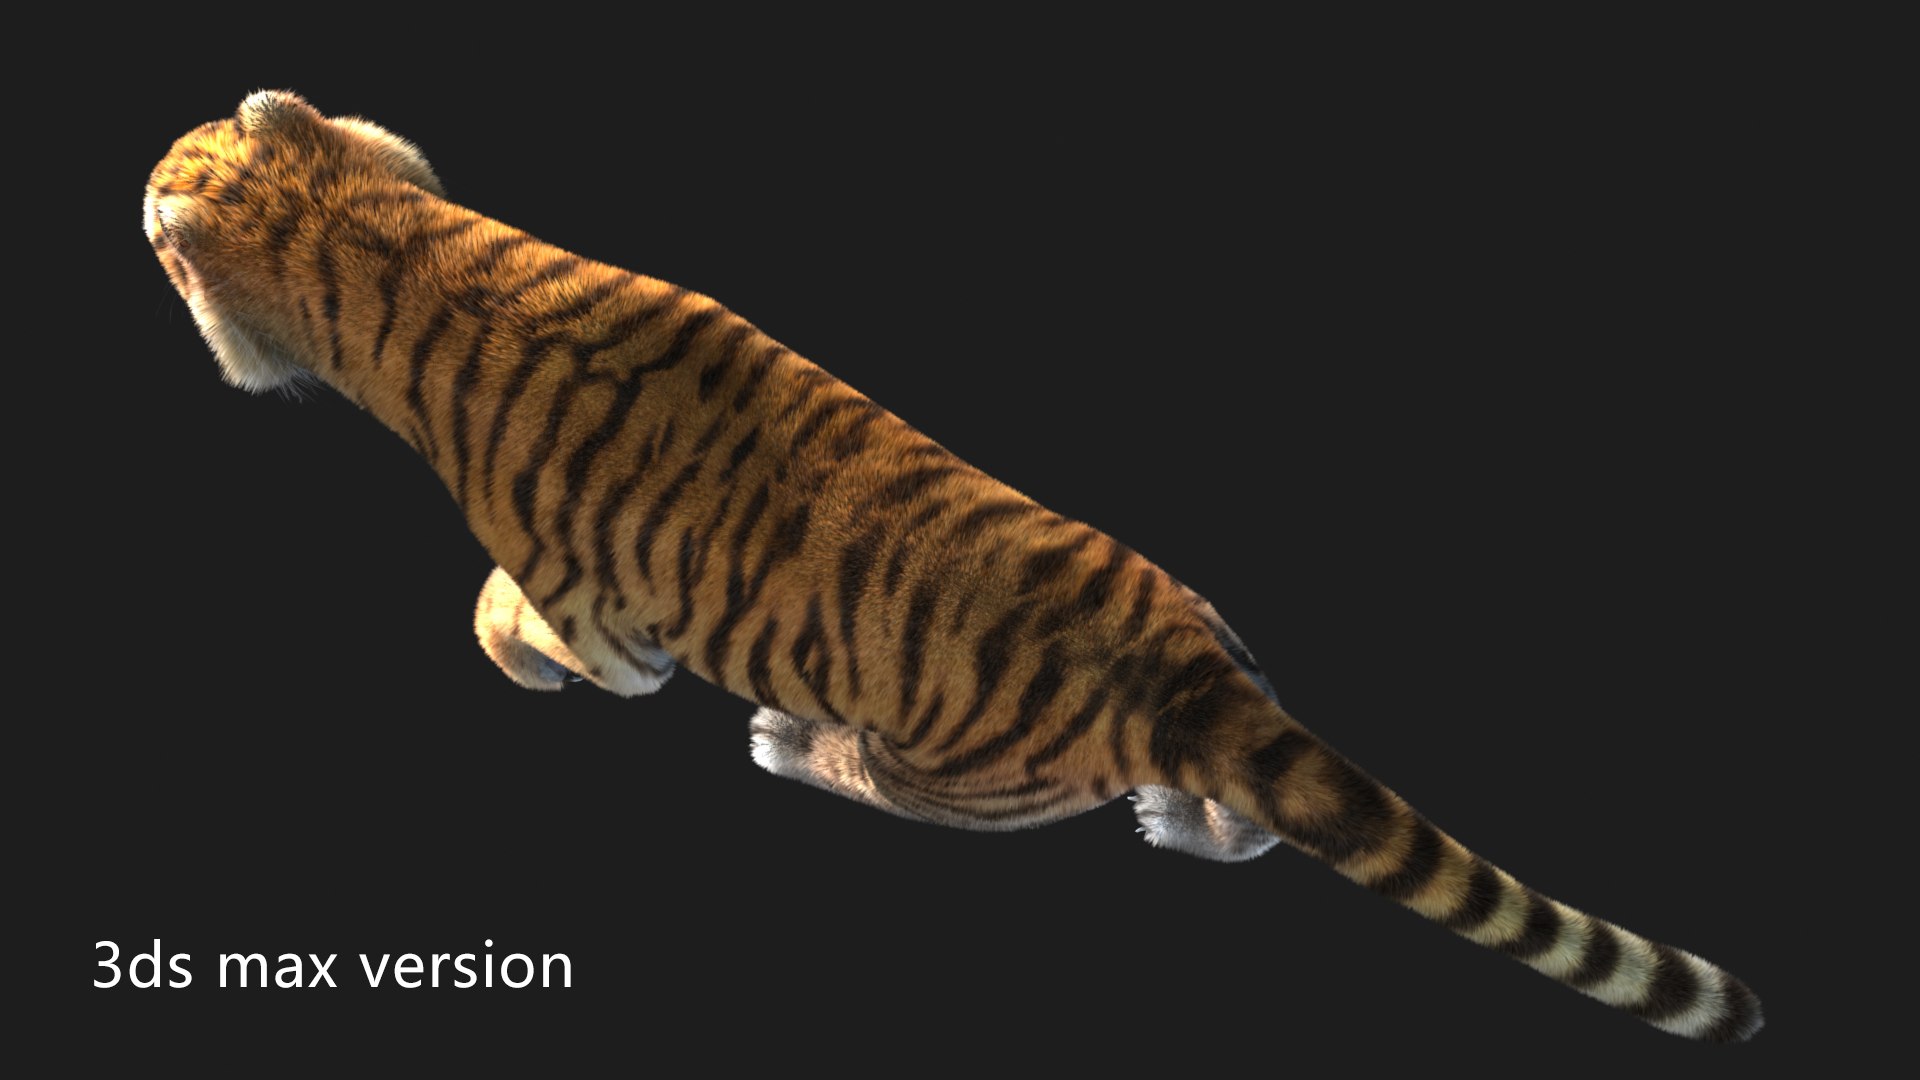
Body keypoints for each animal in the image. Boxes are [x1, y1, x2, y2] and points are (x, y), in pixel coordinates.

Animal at [142, 90, 1762, 1042]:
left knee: (880, 782)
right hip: (1218, 639)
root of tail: (1179, 682)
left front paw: (504, 646)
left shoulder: (602, 619)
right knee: (1249, 809)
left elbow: (526, 625)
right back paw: (1193, 821)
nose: (148, 167)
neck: (375, 237)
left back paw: (794, 744)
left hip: (943, 770)